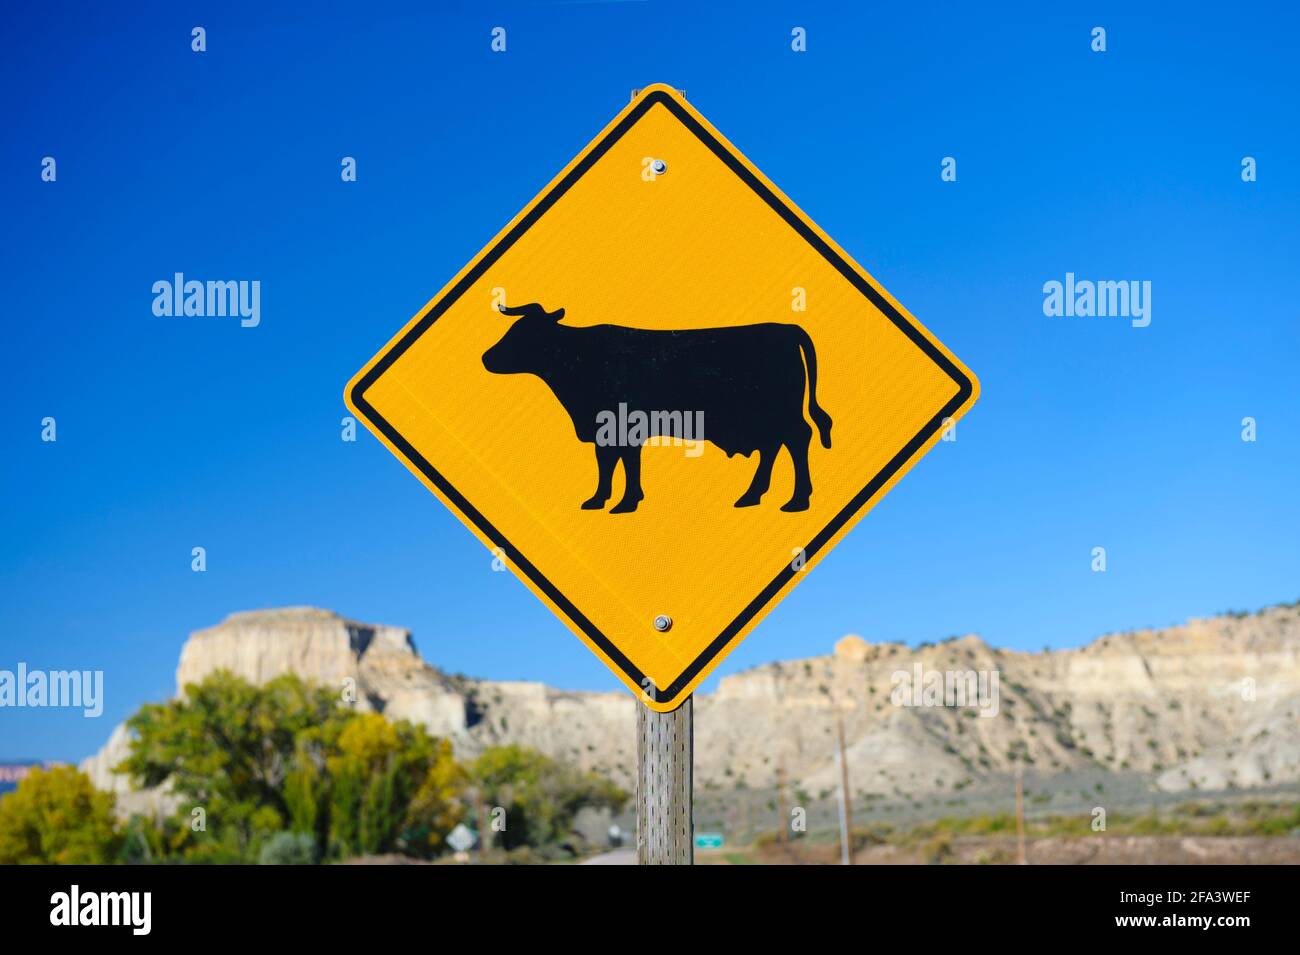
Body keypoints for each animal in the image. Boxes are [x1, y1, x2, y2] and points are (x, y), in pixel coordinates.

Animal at [482, 303, 832, 513]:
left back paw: (798, 500)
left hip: (781, 412)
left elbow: (622, 462)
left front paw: (623, 502)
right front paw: (603, 499)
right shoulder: (608, 429)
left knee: (797, 439)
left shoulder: (620, 425)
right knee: (774, 446)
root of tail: (785, 327)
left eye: (523, 334)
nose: (486, 357)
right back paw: (752, 495)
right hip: (766, 417)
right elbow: (611, 462)